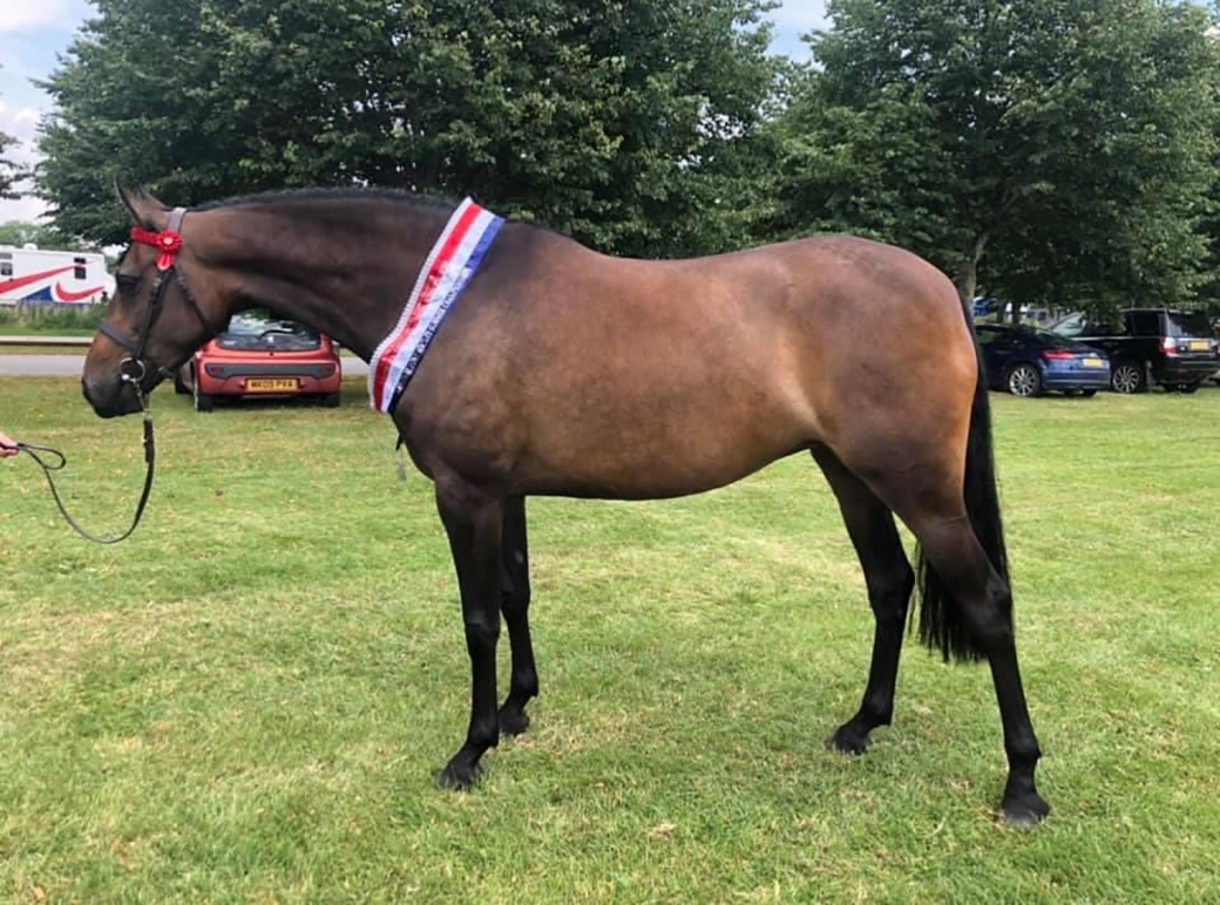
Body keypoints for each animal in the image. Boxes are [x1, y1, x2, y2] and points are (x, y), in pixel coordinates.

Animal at [82, 185, 1049, 826]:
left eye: (127, 276)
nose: (99, 386)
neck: (453, 301)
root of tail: (942, 289)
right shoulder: (503, 490)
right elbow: (515, 595)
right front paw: (517, 711)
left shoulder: (465, 492)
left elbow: (476, 616)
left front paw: (470, 749)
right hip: (848, 473)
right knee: (889, 587)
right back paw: (860, 726)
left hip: (920, 489)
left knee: (987, 602)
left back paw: (1023, 783)